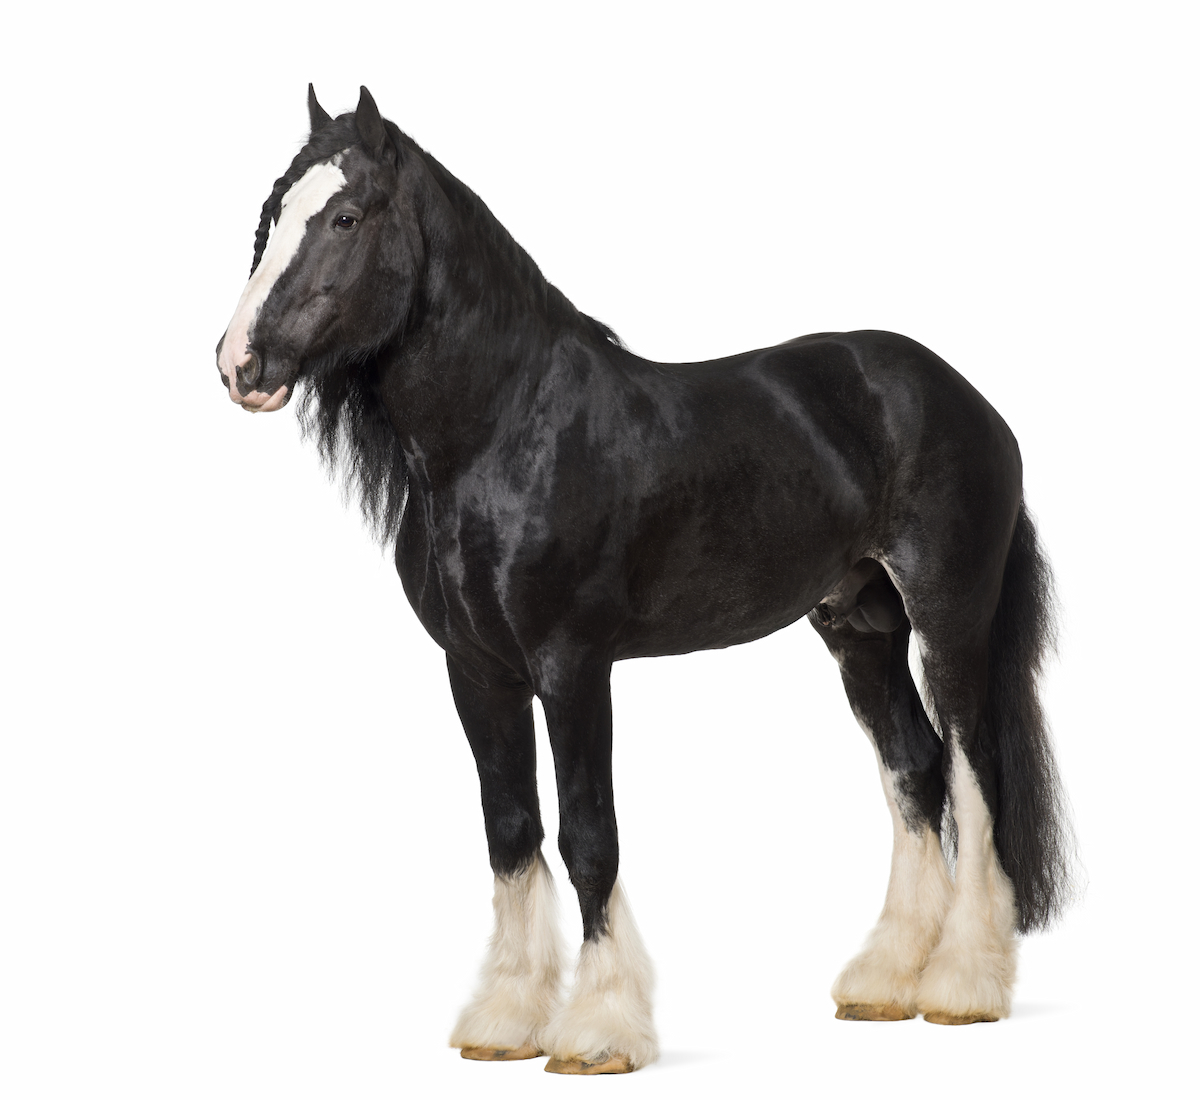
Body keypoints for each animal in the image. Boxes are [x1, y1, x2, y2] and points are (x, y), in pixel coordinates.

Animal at [215, 85, 1072, 1074]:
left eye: (346, 216)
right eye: (271, 213)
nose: (240, 365)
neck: (508, 429)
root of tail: (968, 399)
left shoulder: (573, 666)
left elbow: (590, 835)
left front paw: (599, 1032)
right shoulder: (477, 671)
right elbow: (511, 831)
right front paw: (506, 1021)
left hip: (948, 617)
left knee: (973, 771)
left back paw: (963, 986)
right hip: (859, 628)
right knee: (914, 767)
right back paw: (884, 983)